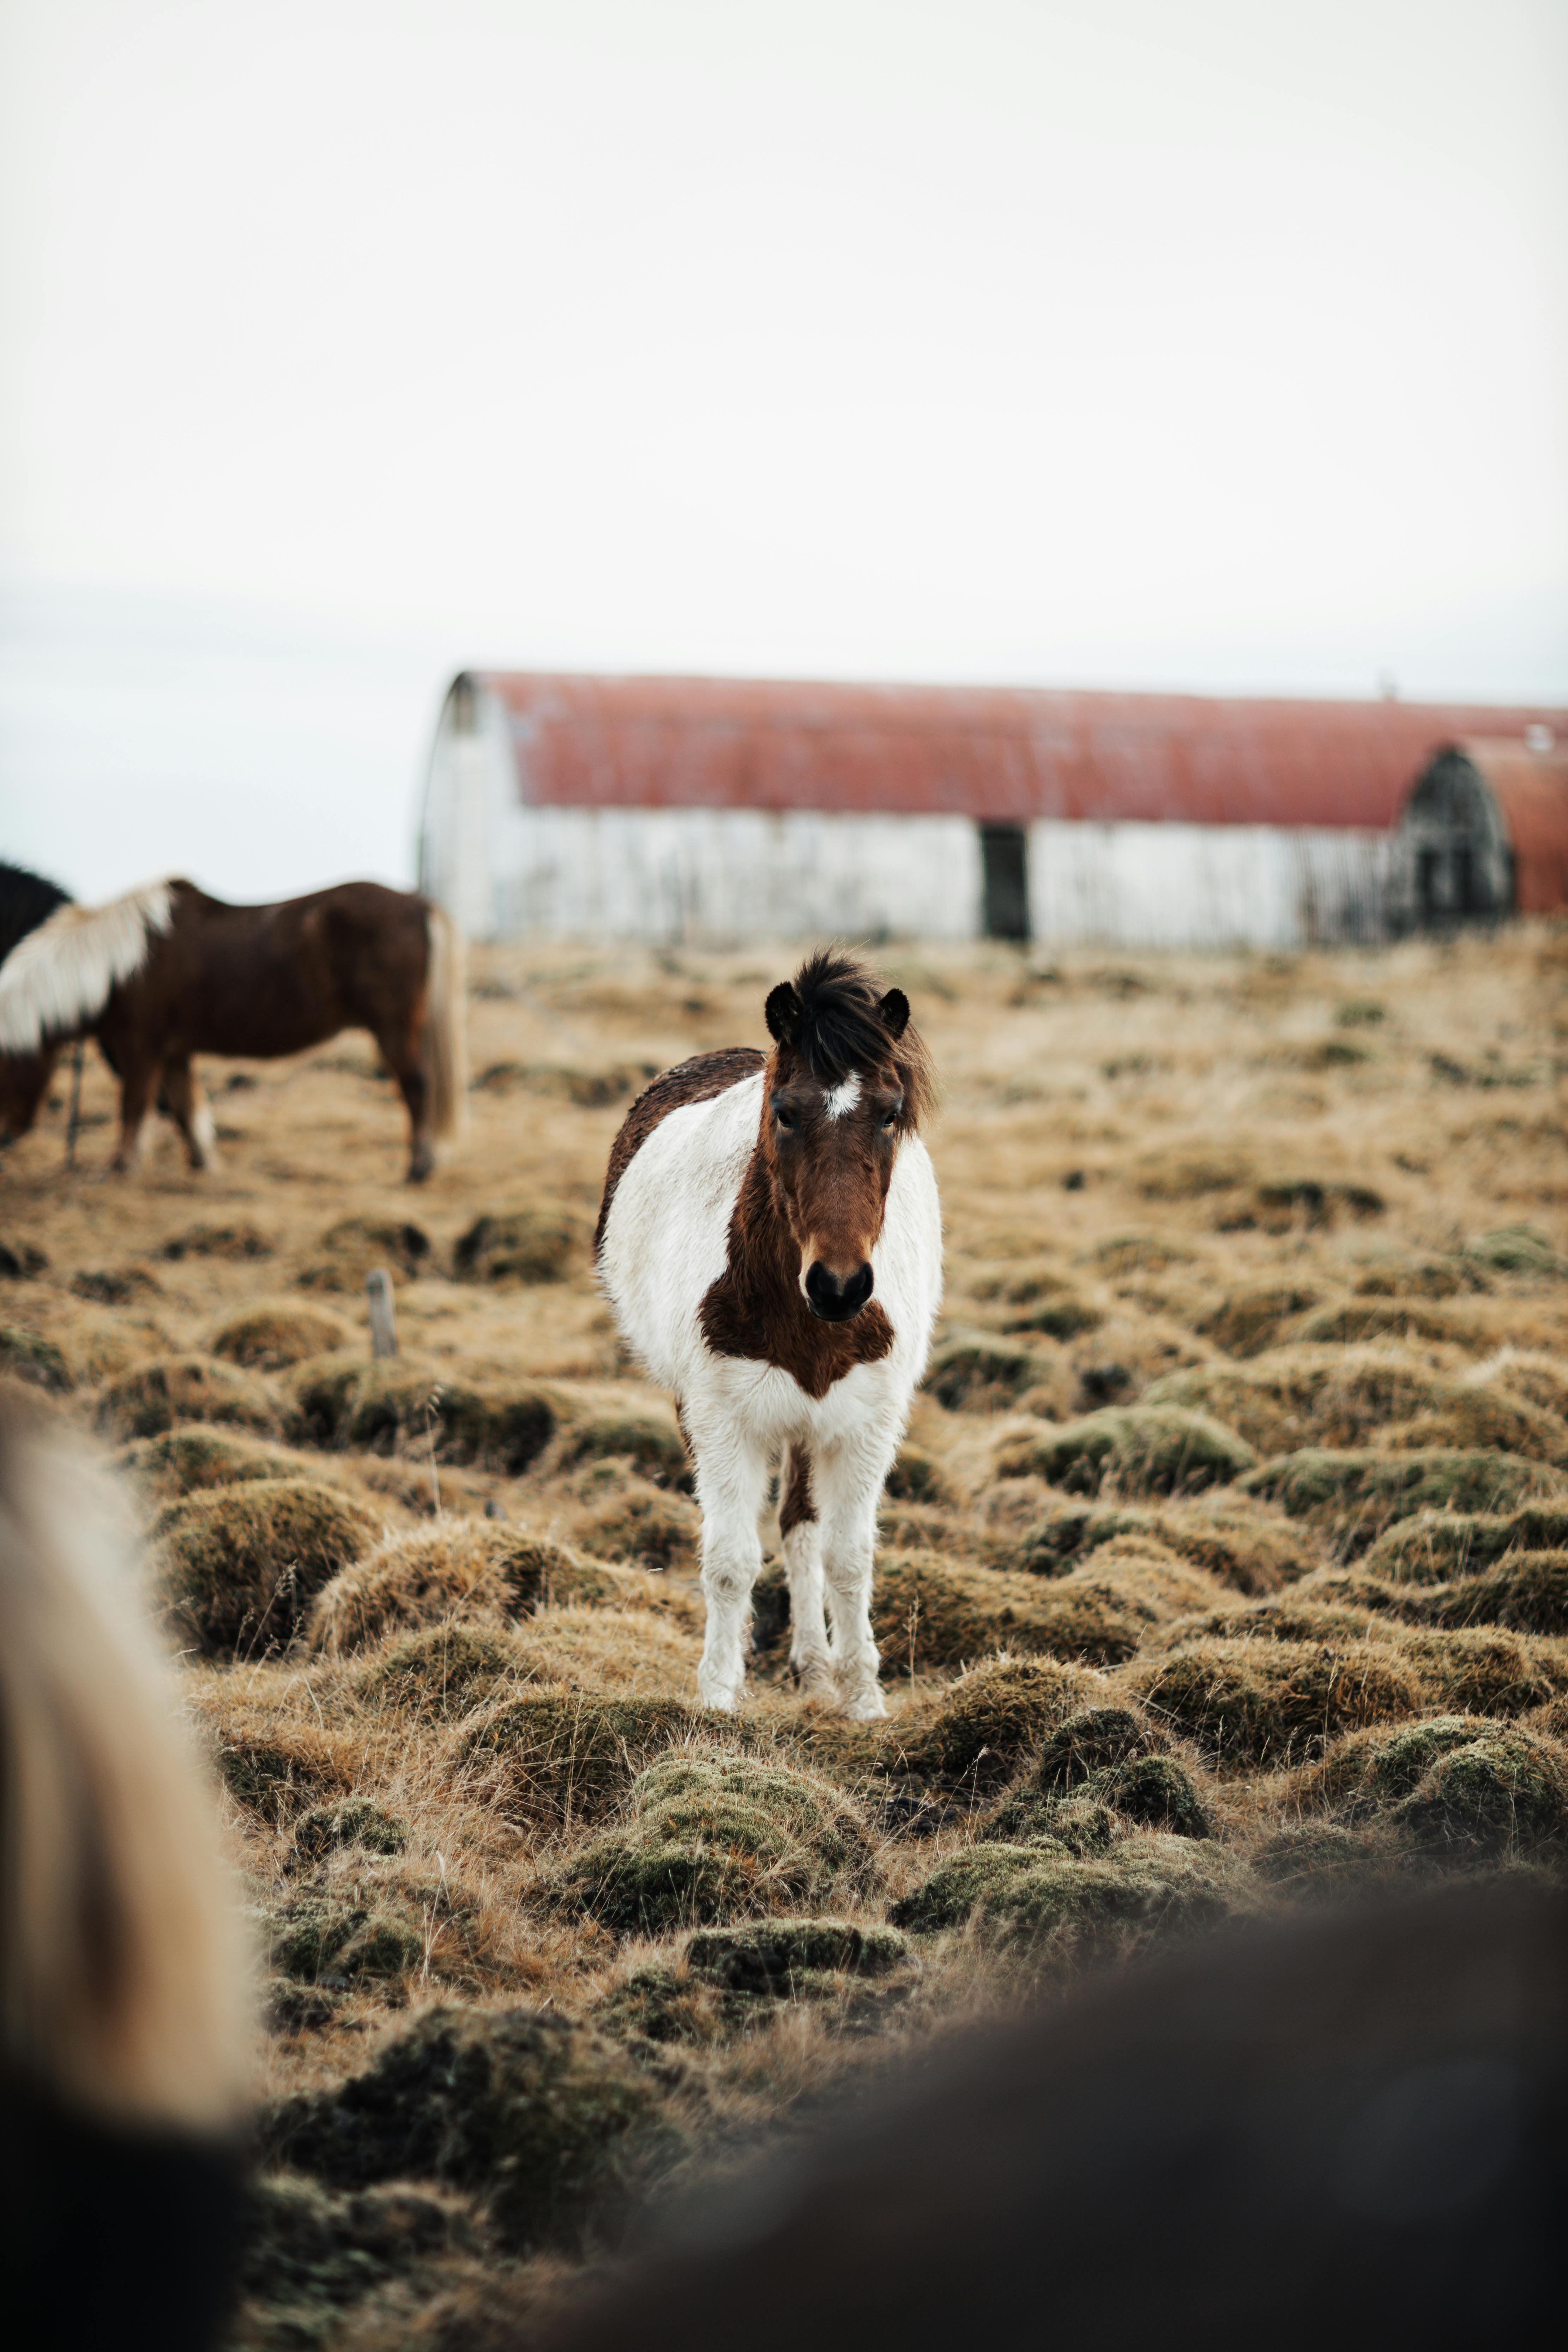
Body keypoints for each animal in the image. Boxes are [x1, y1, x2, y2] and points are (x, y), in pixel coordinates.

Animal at [0, 873, 466, 1182]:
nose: (3, 1139)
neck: (122, 966)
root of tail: (416, 902)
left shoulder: (142, 1050)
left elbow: (134, 1107)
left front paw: (121, 1167)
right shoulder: (173, 1053)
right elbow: (184, 1106)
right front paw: (202, 1162)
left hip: (393, 1029)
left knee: (416, 1086)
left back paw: (419, 1167)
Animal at [595, 949, 942, 1718]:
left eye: (890, 1114)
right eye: (783, 1113)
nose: (839, 1285)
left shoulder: (864, 1425)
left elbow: (847, 1557)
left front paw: (862, 1699)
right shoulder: (722, 1419)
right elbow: (729, 1560)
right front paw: (719, 1697)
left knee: (802, 1528)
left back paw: (813, 1668)